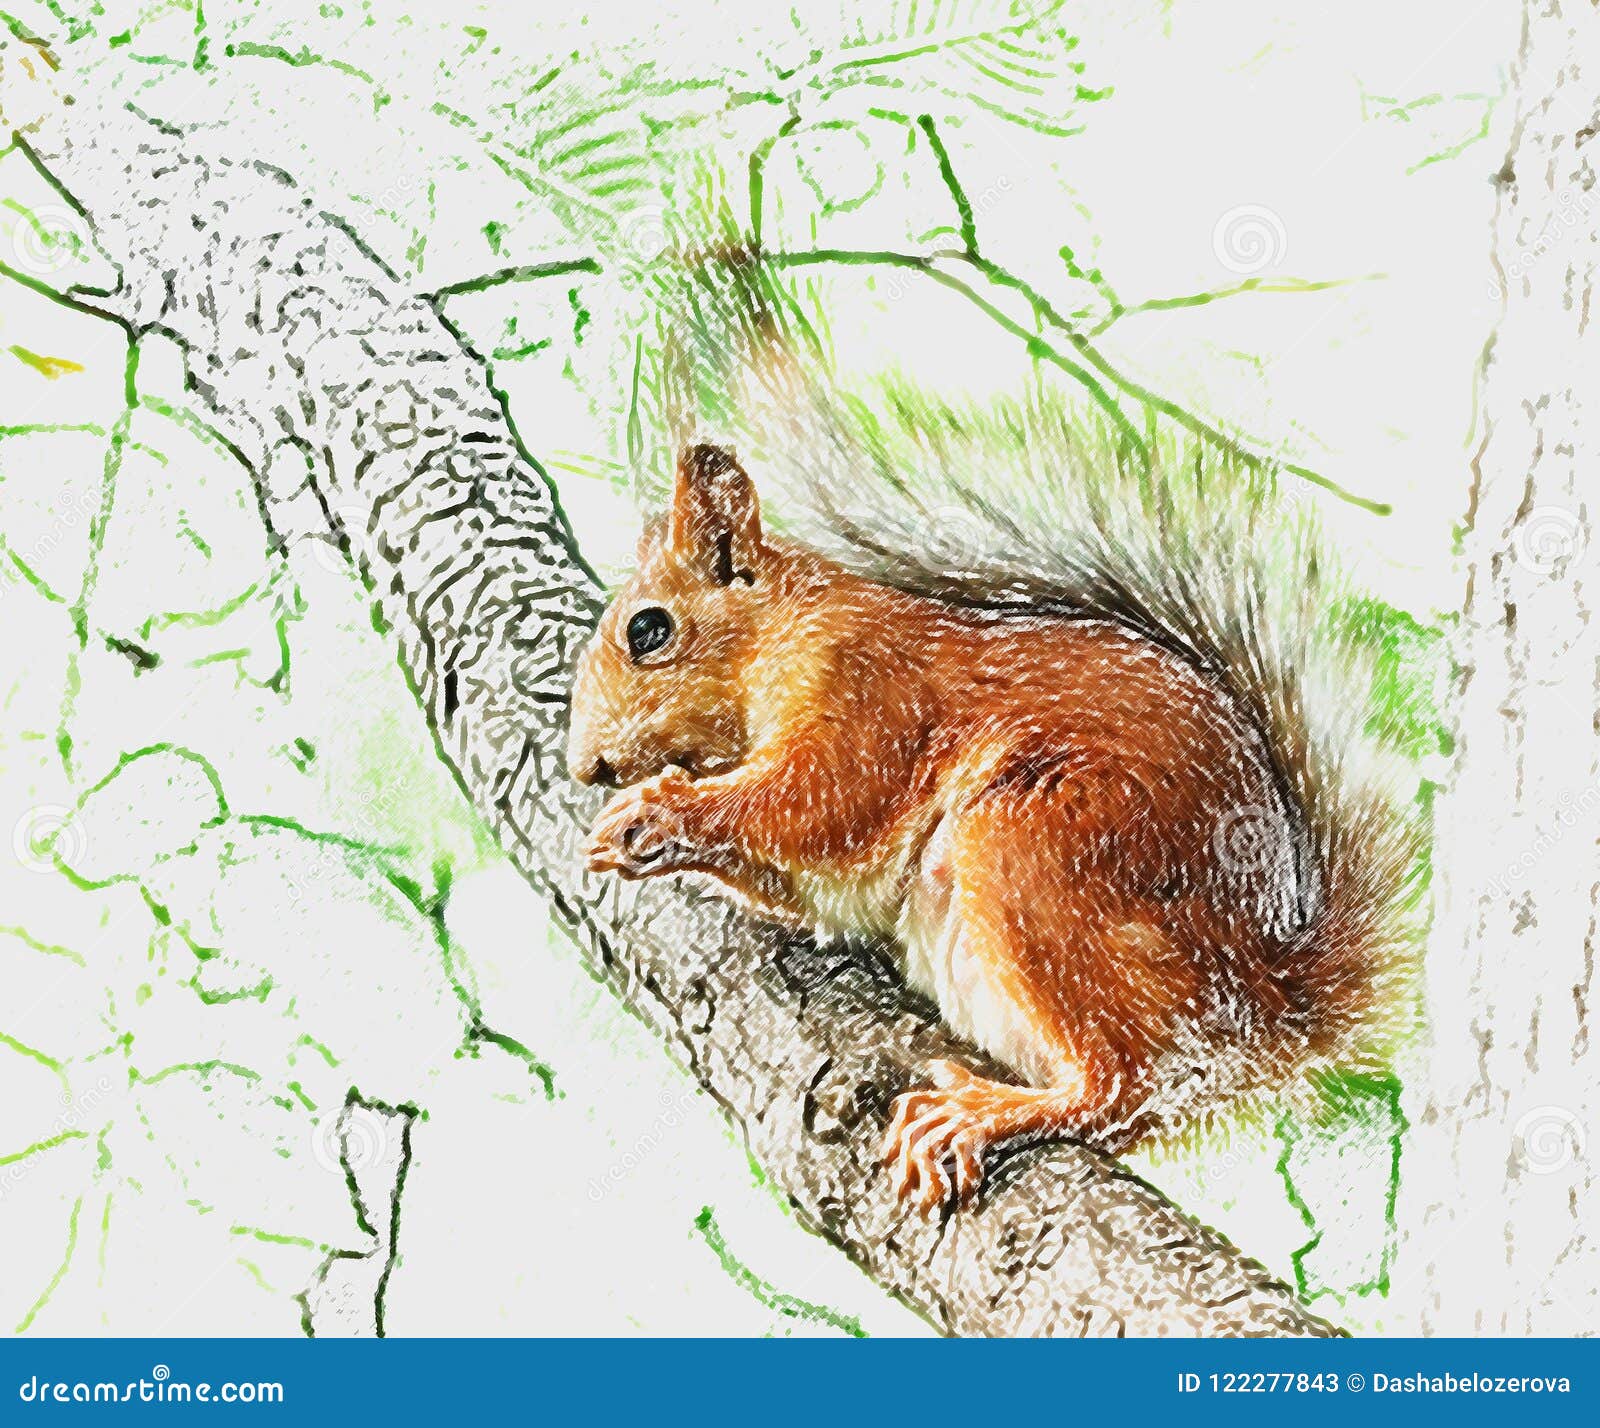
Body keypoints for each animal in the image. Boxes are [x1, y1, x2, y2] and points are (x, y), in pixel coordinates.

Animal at [566, 440, 1417, 1215]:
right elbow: (801, 887)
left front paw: (665, 808)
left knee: (1125, 1084)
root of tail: (1261, 997)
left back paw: (986, 1114)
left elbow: (819, 801)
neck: (784, 627)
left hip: (1033, 851)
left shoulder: (870, 692)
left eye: (648, 631)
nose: (585, 767)